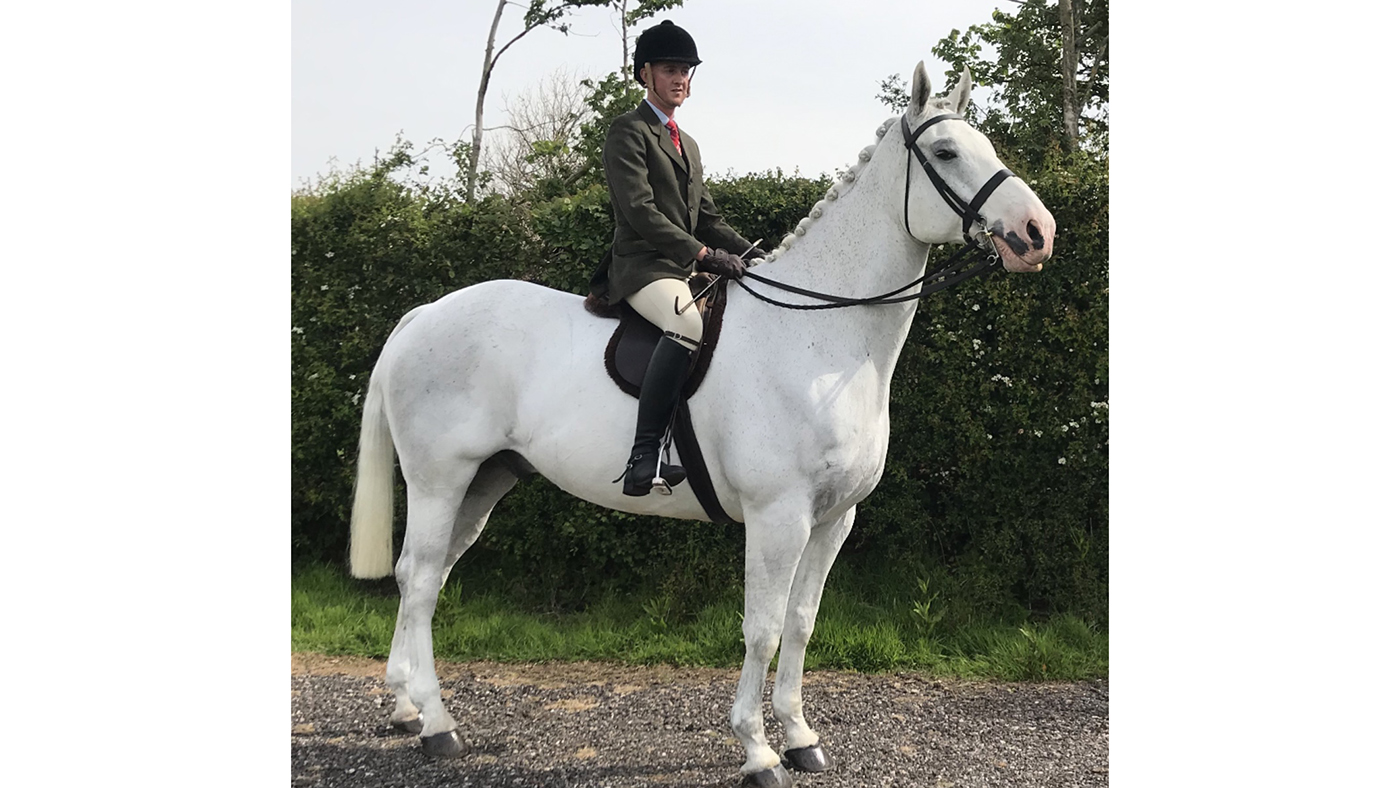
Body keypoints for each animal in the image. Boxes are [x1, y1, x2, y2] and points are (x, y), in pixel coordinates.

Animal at [346, 62, 1055, 787]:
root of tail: (424, 314)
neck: (820, 337)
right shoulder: (779, 515)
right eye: (946, 153)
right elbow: (762, 629)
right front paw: (758, 749)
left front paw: (800, 736)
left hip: (486, 480)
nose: (1038, 232)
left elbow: (802, 623)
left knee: (423, 574)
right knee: (422, 579)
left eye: (987, 146)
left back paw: (405, 707)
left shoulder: (834, 518)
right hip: (440, 478)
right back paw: (437, 725)